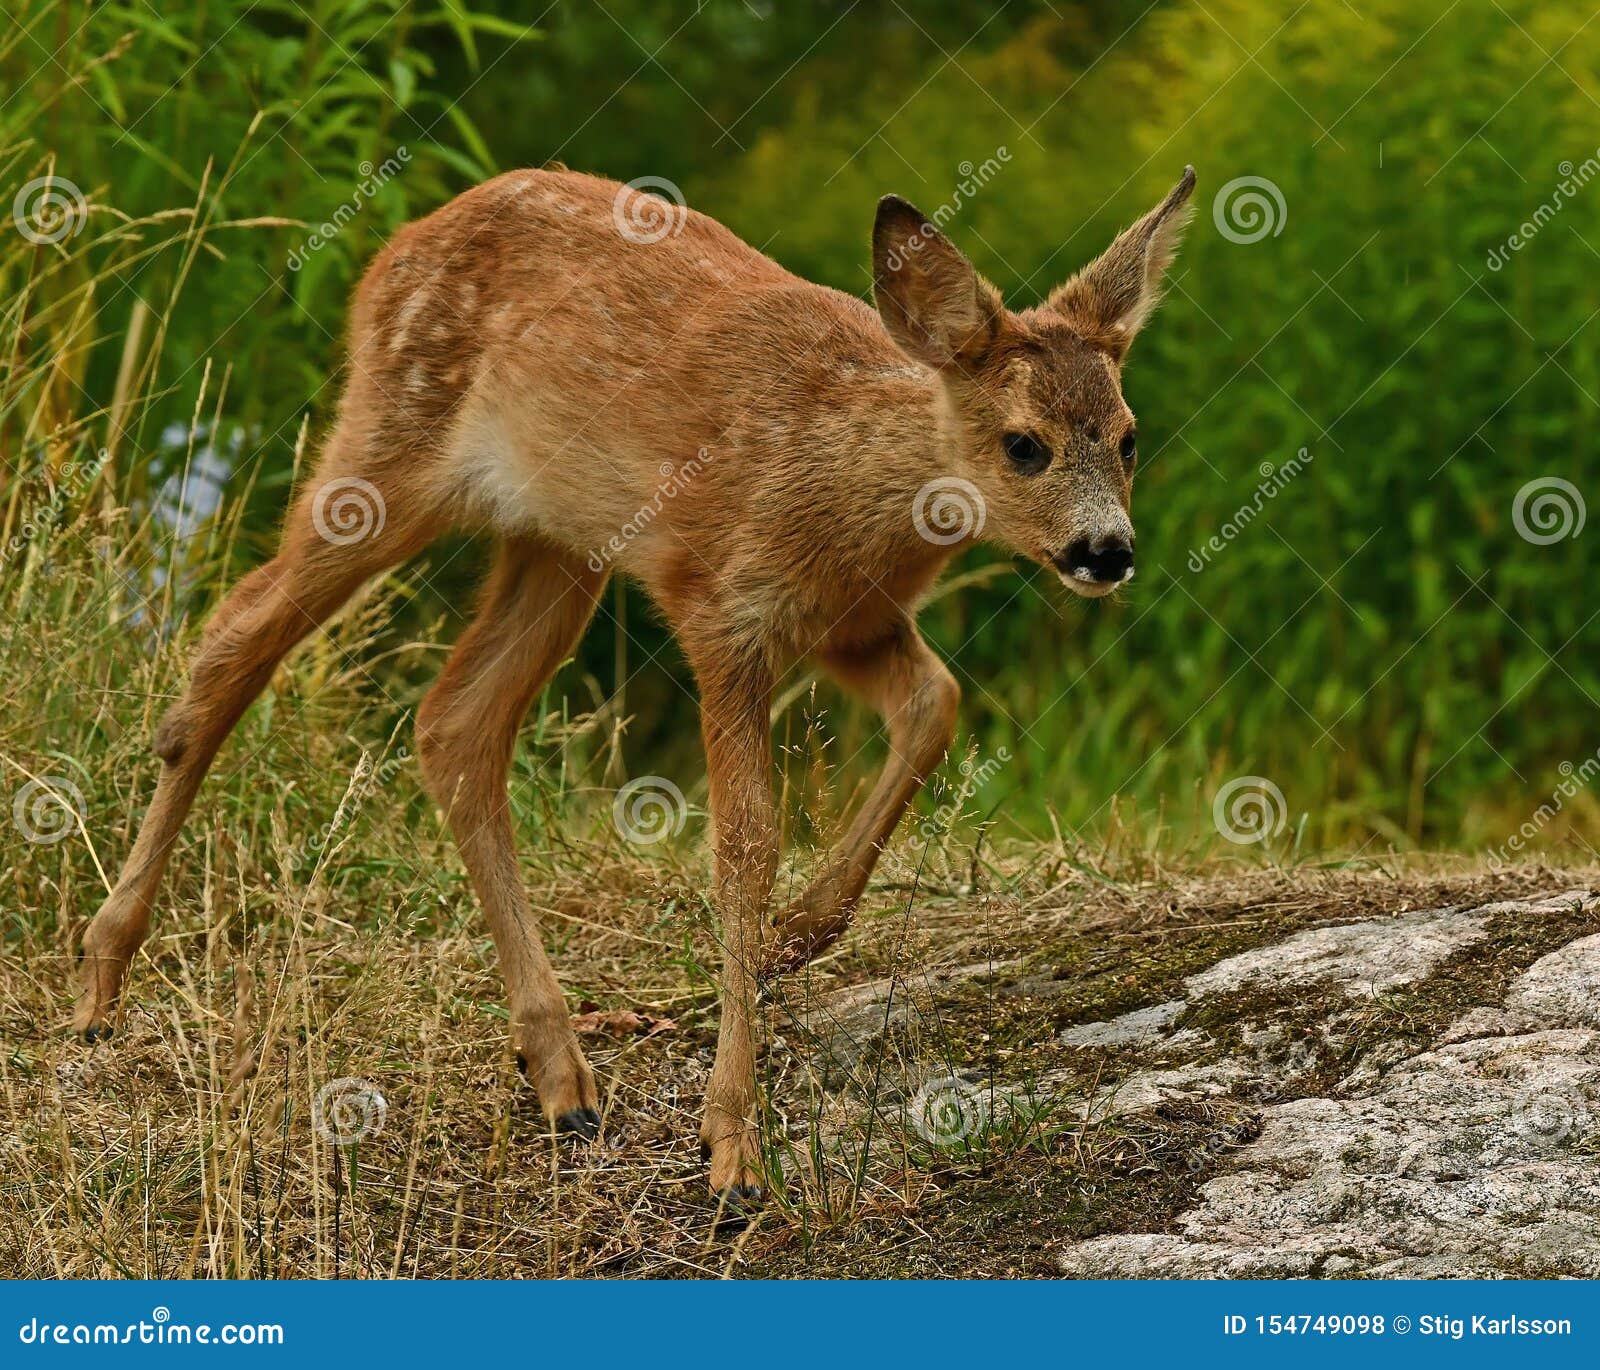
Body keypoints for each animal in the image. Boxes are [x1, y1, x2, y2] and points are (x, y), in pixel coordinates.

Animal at [75, 164, 1196, 1209]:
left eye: (1130, 436)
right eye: (1024, 444)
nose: (1106, 551)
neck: (846, 486)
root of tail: (395, 249)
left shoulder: (850, 622)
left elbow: (936, 706)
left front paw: (795, 937)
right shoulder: (724, 610)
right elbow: (744, 842)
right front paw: (733, 1146)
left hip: (556, 544)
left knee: (453, 721)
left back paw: (560, 1073)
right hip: (392, 440)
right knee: (236, 638)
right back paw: (99, 982)